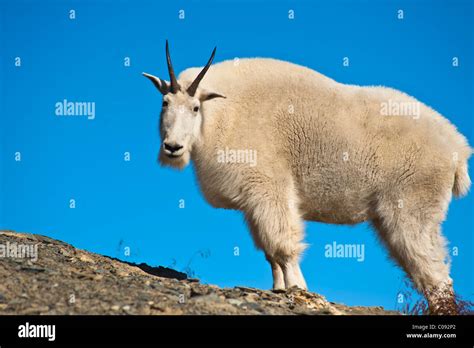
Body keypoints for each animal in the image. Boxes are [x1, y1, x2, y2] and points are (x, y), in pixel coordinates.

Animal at [143, 41, 470, 316]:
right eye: (164, 103)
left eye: (195, 108)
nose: (172, 147)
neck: (219, 115)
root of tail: (457, 149)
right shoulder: (252, 202)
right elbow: (269, 252)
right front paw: (277, 288)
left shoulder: (269, 187)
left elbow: (283, 244)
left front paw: (299, 288)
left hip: (413, 204)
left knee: (434, 269)